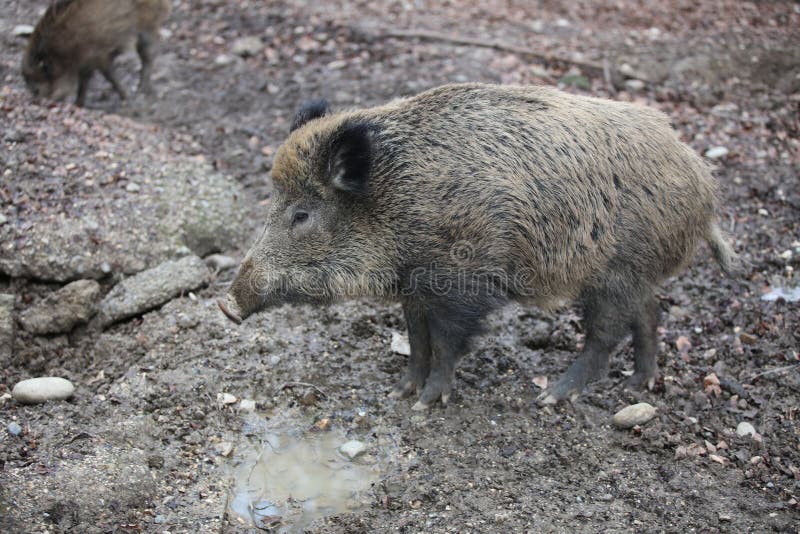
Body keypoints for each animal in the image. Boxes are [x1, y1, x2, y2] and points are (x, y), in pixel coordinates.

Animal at [21, 0, 170, 106]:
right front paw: (79, 104)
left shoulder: (98, 54)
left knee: (147, 55)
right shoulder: (86, 62)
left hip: (148, 24)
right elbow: (85, 82)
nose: (44, 102)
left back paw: (142, 91)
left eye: (36, 90)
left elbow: (108, 75)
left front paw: (126, 98)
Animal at [219, 83, 739, 409]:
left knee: (605, 335)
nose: (226, 304)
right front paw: (400, 392)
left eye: (301, 215)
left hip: (614, 272)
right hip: (632, 273)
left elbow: (448, 343)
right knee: (648, 312)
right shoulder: (416, 288)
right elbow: (417, 339)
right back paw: (639, 384)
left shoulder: (462, 283)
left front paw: (427, 404)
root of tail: (703, 184)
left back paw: (550, 397)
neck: (395, 203)